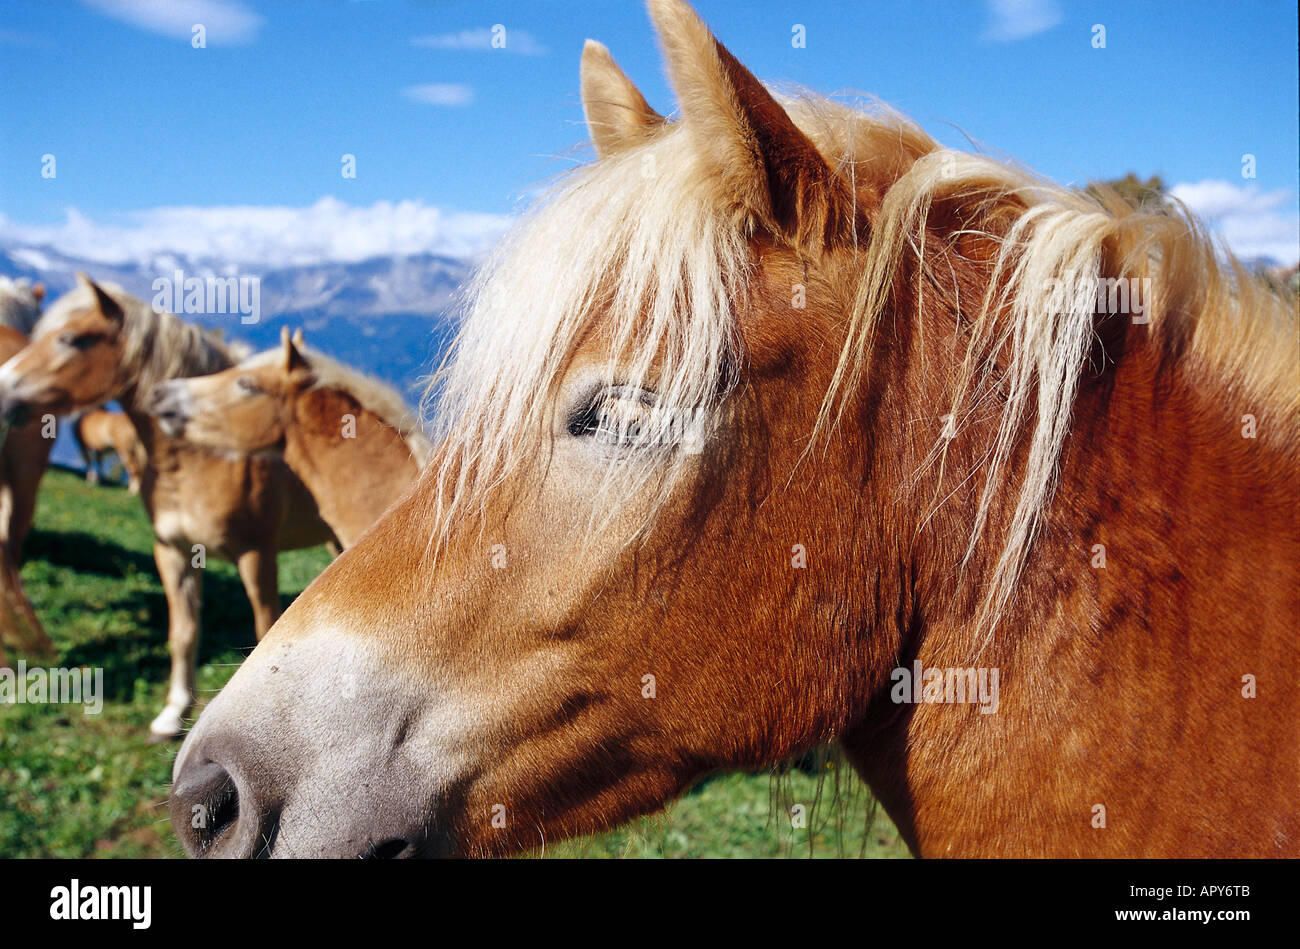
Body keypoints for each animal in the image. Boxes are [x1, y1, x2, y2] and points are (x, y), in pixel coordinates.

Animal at [0, 275, 334, 739]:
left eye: (72, 339)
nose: (2, 387)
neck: (202, 459)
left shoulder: (257, 556)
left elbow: (265, 632)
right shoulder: (174, 550)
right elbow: (183, 631)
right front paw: (173, 713)